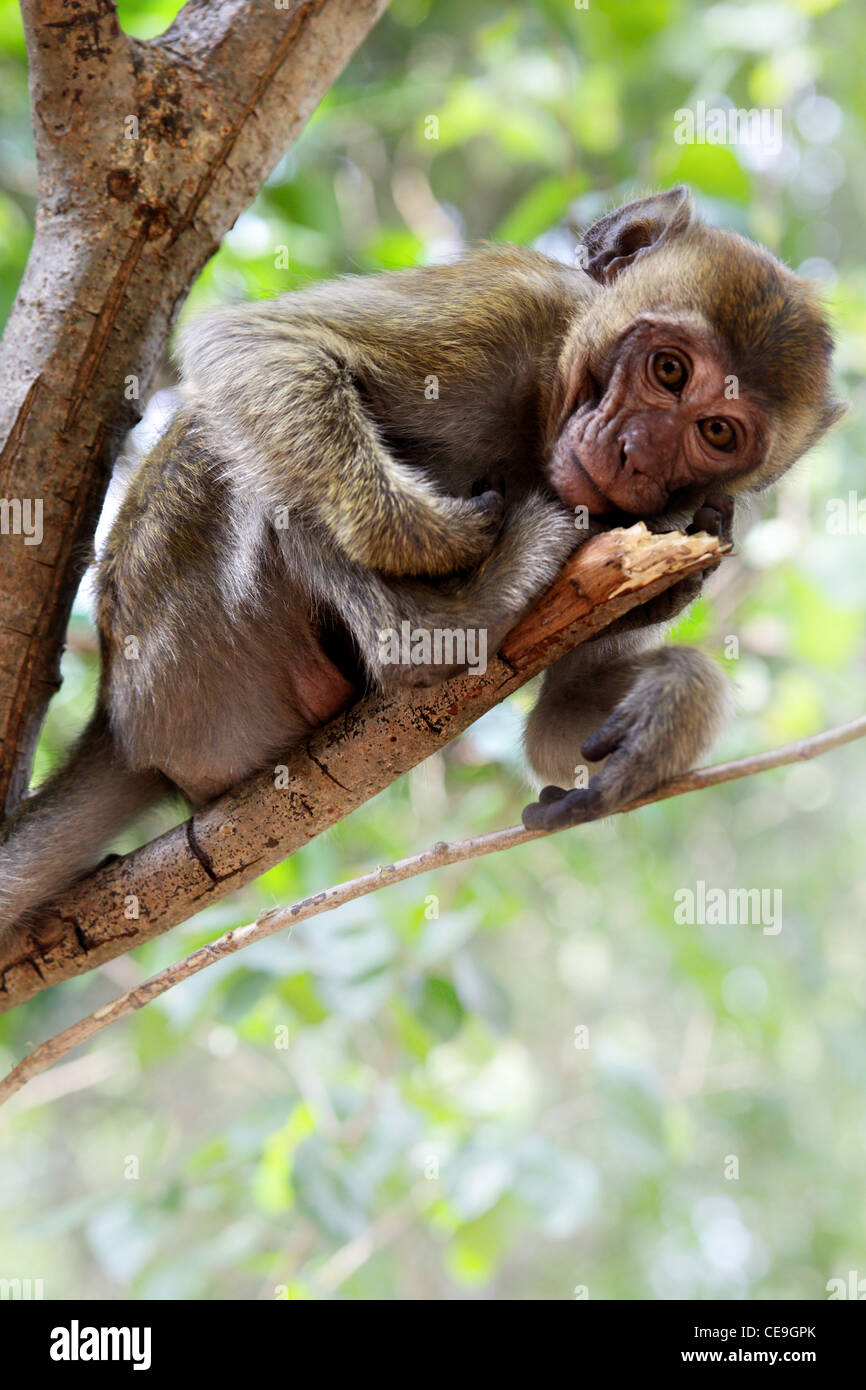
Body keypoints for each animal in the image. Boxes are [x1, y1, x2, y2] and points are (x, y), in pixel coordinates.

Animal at [0, 186, 844, 966]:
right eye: (669, 369)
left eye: (717, 432)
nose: (636, 455)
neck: (543, 406)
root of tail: (118, 715)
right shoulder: (508, 306)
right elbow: (255, 344)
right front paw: (424, 533)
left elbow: (558, 729)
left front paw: (671, 696)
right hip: (186, 652)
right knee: (241, 441)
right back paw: (439, 624)